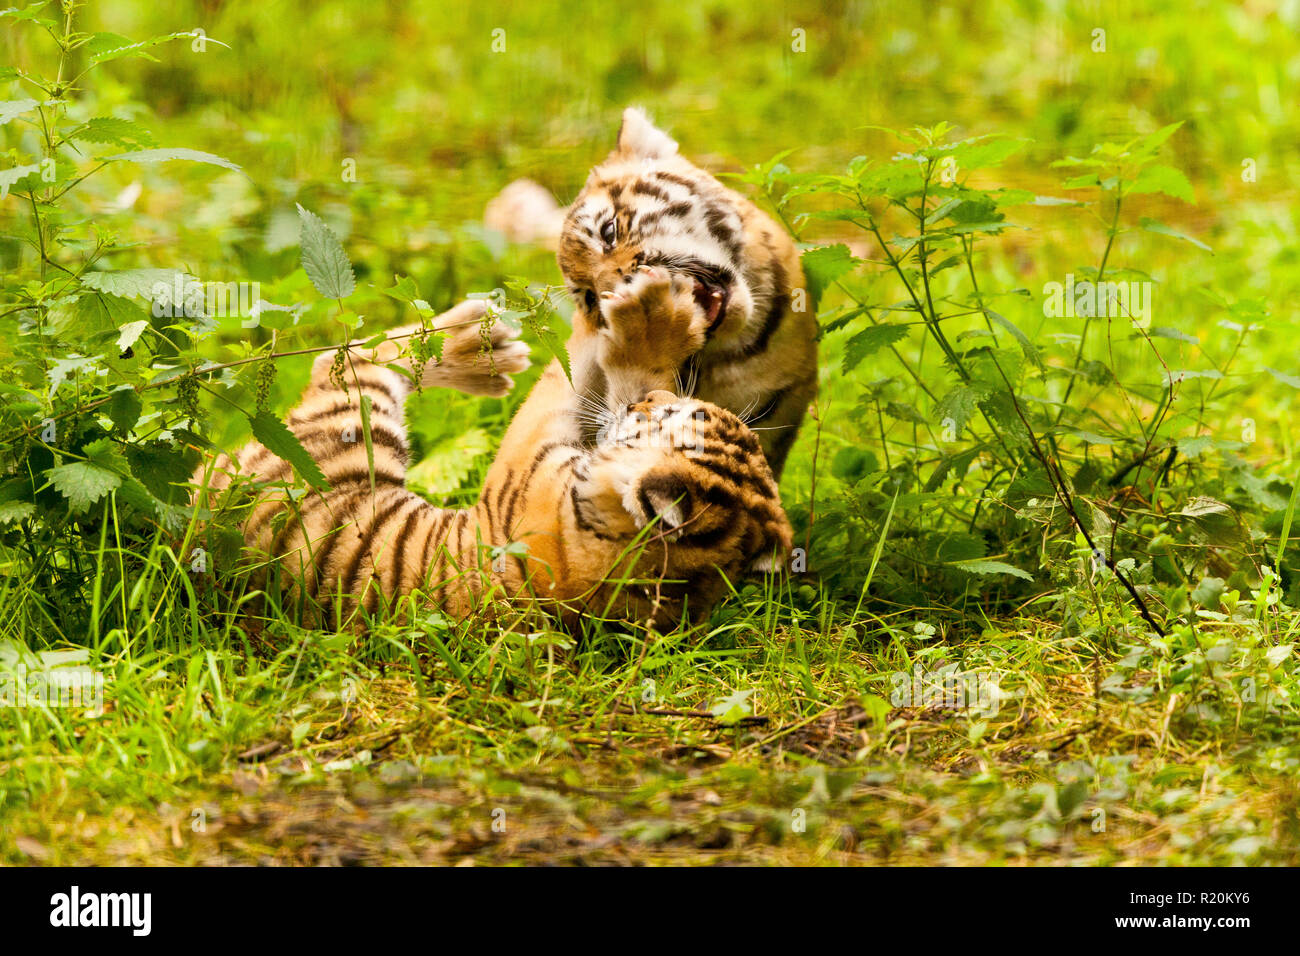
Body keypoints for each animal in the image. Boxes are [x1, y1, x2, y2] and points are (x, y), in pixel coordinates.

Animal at [198, 275, 792, 631]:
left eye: (660, 416)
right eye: (682, 408)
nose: (650, 401)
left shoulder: (527, 460)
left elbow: (581, 367)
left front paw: (642, 316)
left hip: (345, 433)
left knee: (349, 360)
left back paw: (480, 344)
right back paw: (482, 343)